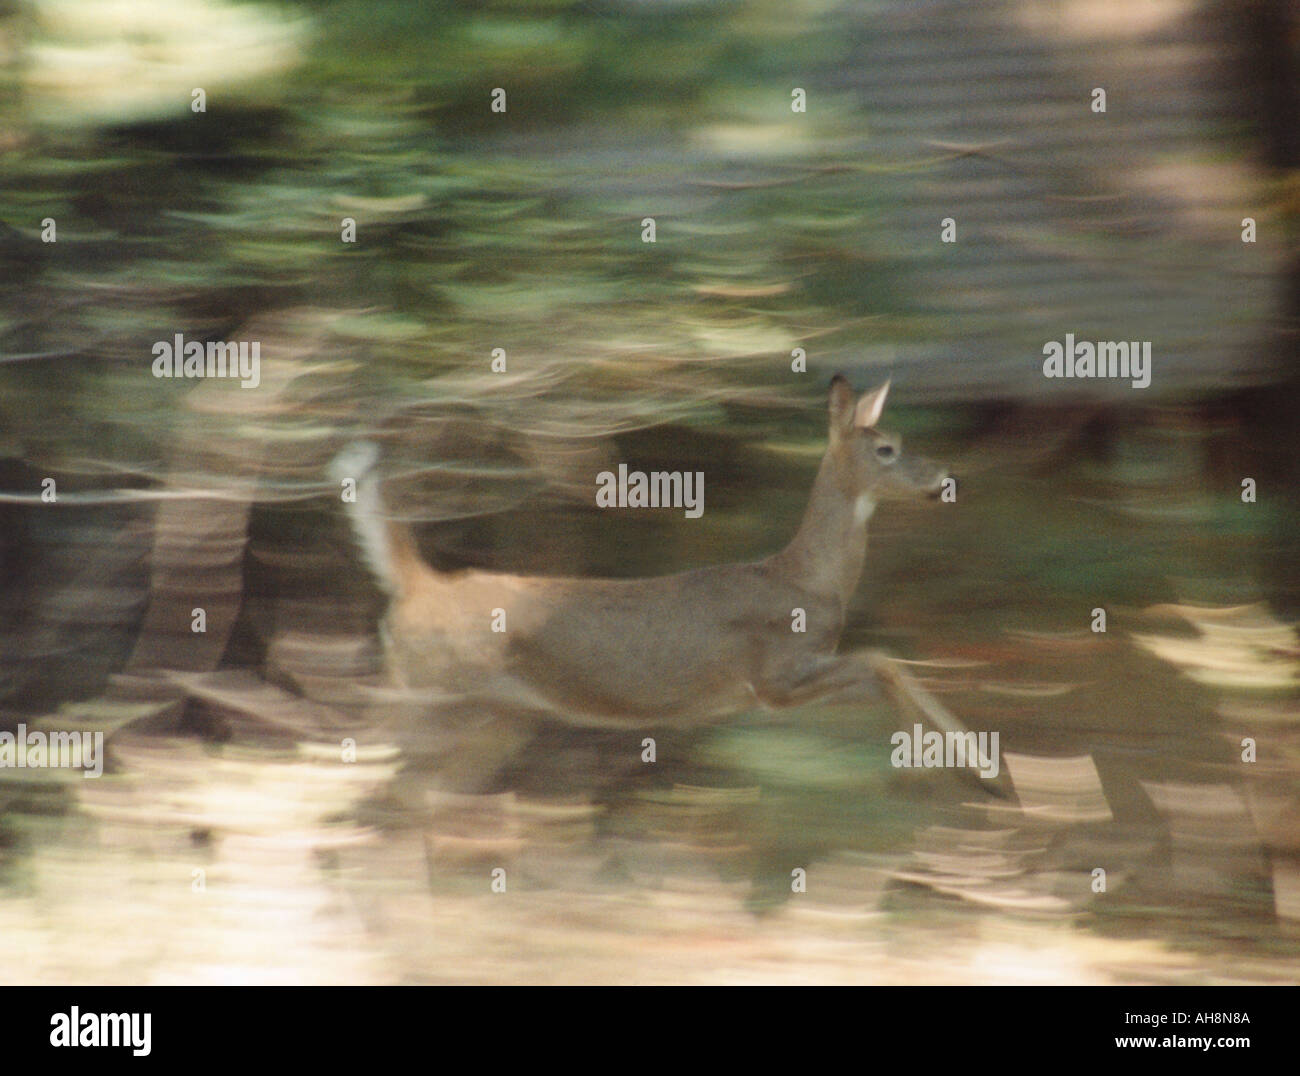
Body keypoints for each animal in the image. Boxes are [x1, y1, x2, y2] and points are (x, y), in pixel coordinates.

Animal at [332, 375, 1008, 796]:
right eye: (887, 449)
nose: (944, 476)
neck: (806, 580)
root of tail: (419, 585)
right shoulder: (772, 678)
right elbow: (883, 659)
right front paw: (985, 772)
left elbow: (885, 665)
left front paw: (966, 773)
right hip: (436, 693)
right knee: (367, 772)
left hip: (496, 712)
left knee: (420, 789)